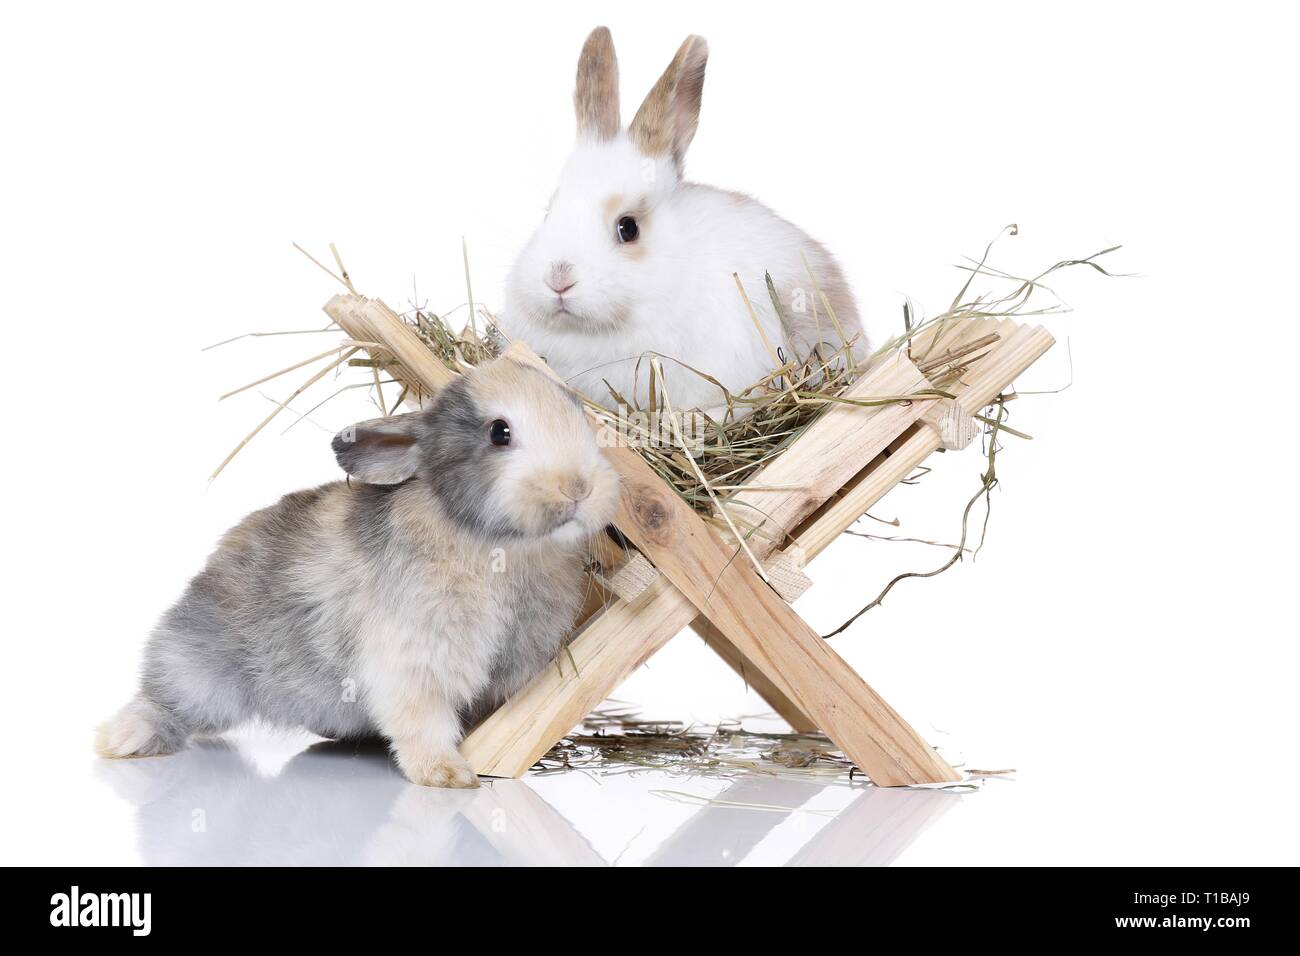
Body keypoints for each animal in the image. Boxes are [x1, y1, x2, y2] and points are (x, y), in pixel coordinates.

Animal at [96, 355, 621, 788]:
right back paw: (120, 738)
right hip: (199, 671)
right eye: (499, 432)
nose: (579, 487)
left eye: (580, 416)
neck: (498, 546)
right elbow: (423, 723)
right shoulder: (416, 663)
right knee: (163, 703)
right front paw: (447, 775)